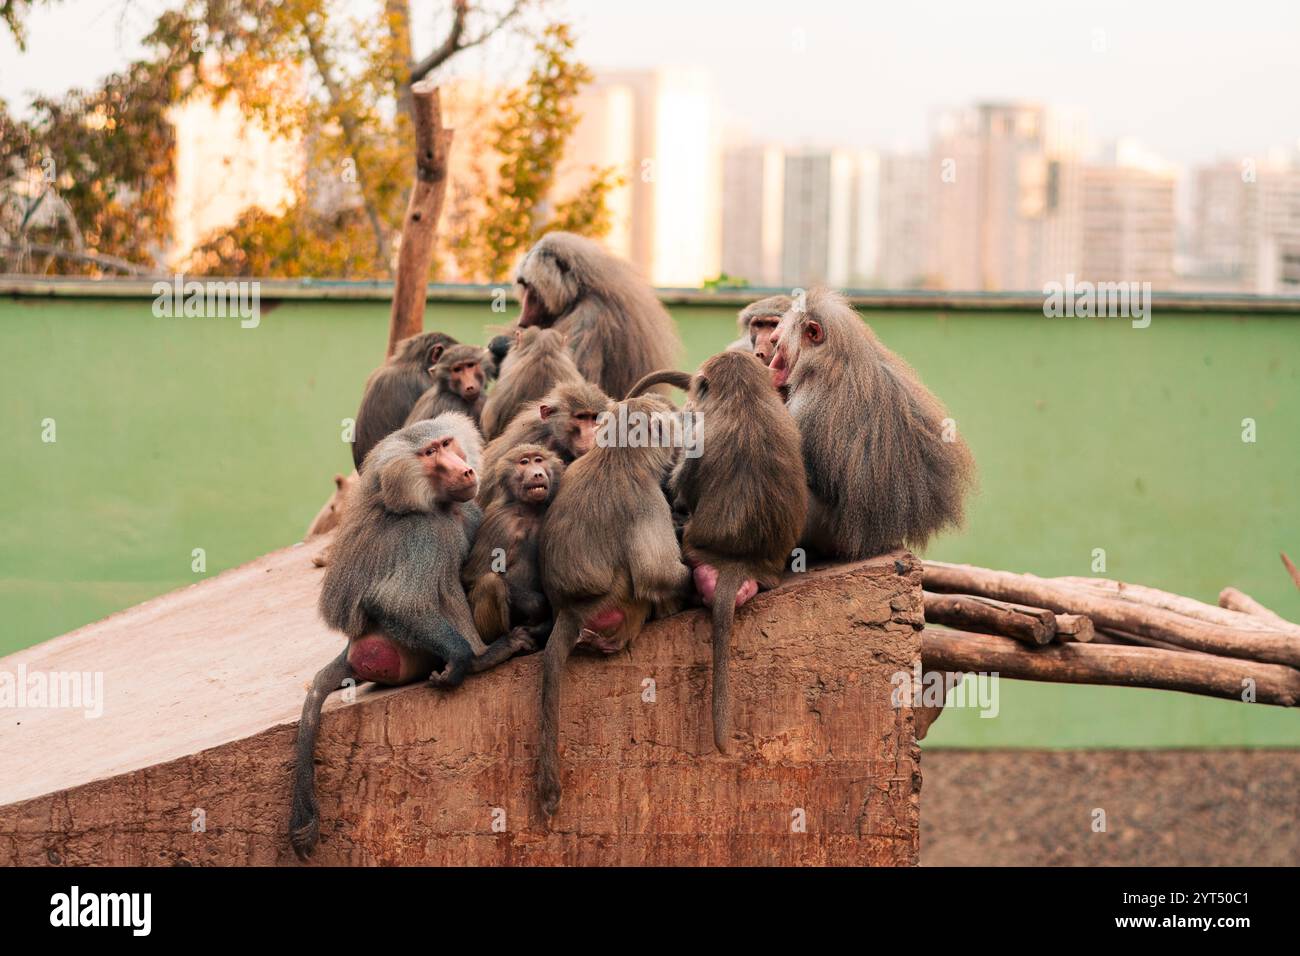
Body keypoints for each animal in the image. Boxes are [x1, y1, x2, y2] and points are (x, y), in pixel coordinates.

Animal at [290, 414, 531, 859]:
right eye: (429, 453)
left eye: (447, 443)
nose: (466, 470)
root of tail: (351, 649)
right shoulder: (424, 531)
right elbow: (399, 601)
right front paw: (465, 660)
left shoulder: (468, 508)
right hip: (393, 646)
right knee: (439, 580)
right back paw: (484, 656)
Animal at [462, 443, 565, 649]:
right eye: (524, 462)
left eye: (538, 460)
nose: (537, 474)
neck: (530, 511)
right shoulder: (501, 522)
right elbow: (473, 576)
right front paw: (537, 606)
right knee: (490, 582)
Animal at [627, 351, 808, 753]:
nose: (691, 401)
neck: (744, 398)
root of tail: (740, 564)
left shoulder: (699, 440)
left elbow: (680, 490)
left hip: (693, 551)